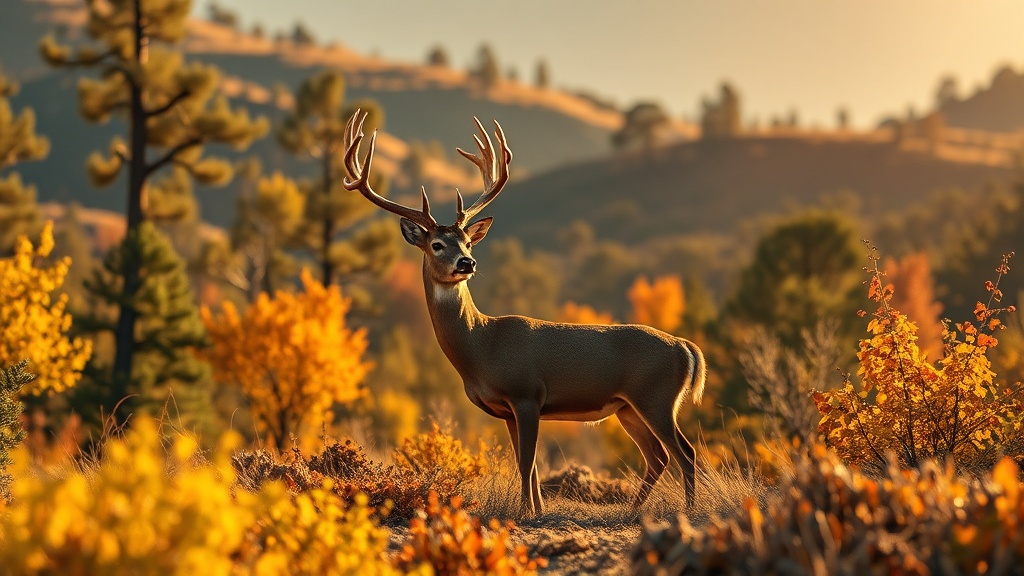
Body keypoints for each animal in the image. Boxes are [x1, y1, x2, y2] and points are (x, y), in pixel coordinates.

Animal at [342, 110, 706, 514]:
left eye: (467, 242)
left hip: (655, 396)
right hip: (627, 406)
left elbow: (528, 461)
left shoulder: (527, 393)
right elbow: (523, 462)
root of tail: (687, 348)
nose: (466, 262)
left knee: (685, 452)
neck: (481, 347)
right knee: (658, 455)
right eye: (437, 244)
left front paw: (525, 511)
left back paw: (689, 509)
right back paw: (633, 509)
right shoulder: (506, 409)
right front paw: (537, 510)